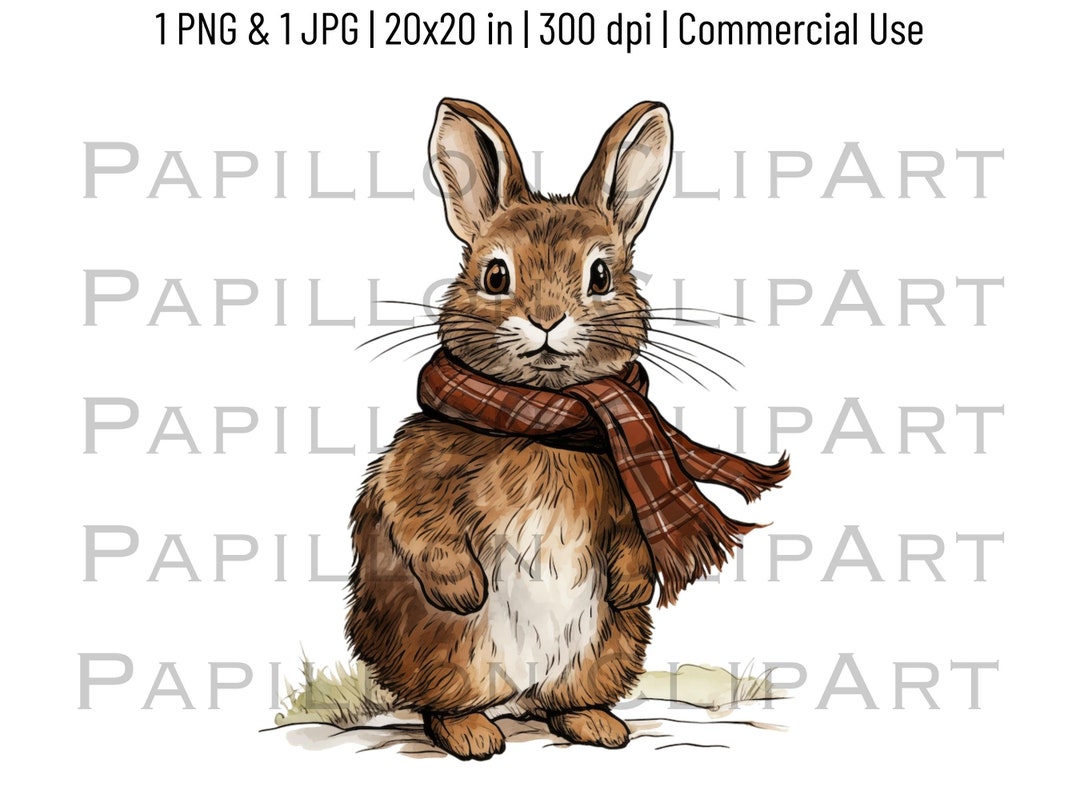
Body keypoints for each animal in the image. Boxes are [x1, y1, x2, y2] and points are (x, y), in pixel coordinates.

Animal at [346, 98, 787, 760]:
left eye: (600, 276)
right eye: (495, 276)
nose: (547, 319)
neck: (545, 414)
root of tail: (516, 699)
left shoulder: (622, 498)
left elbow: (634, 539)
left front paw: (633, 585)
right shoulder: (415, 465)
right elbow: (417, 515)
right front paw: (461, 588)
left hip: (603, 652)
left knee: (564, 700)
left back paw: (596, 725)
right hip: (450, 655)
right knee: (443, 702)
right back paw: (473, 734)